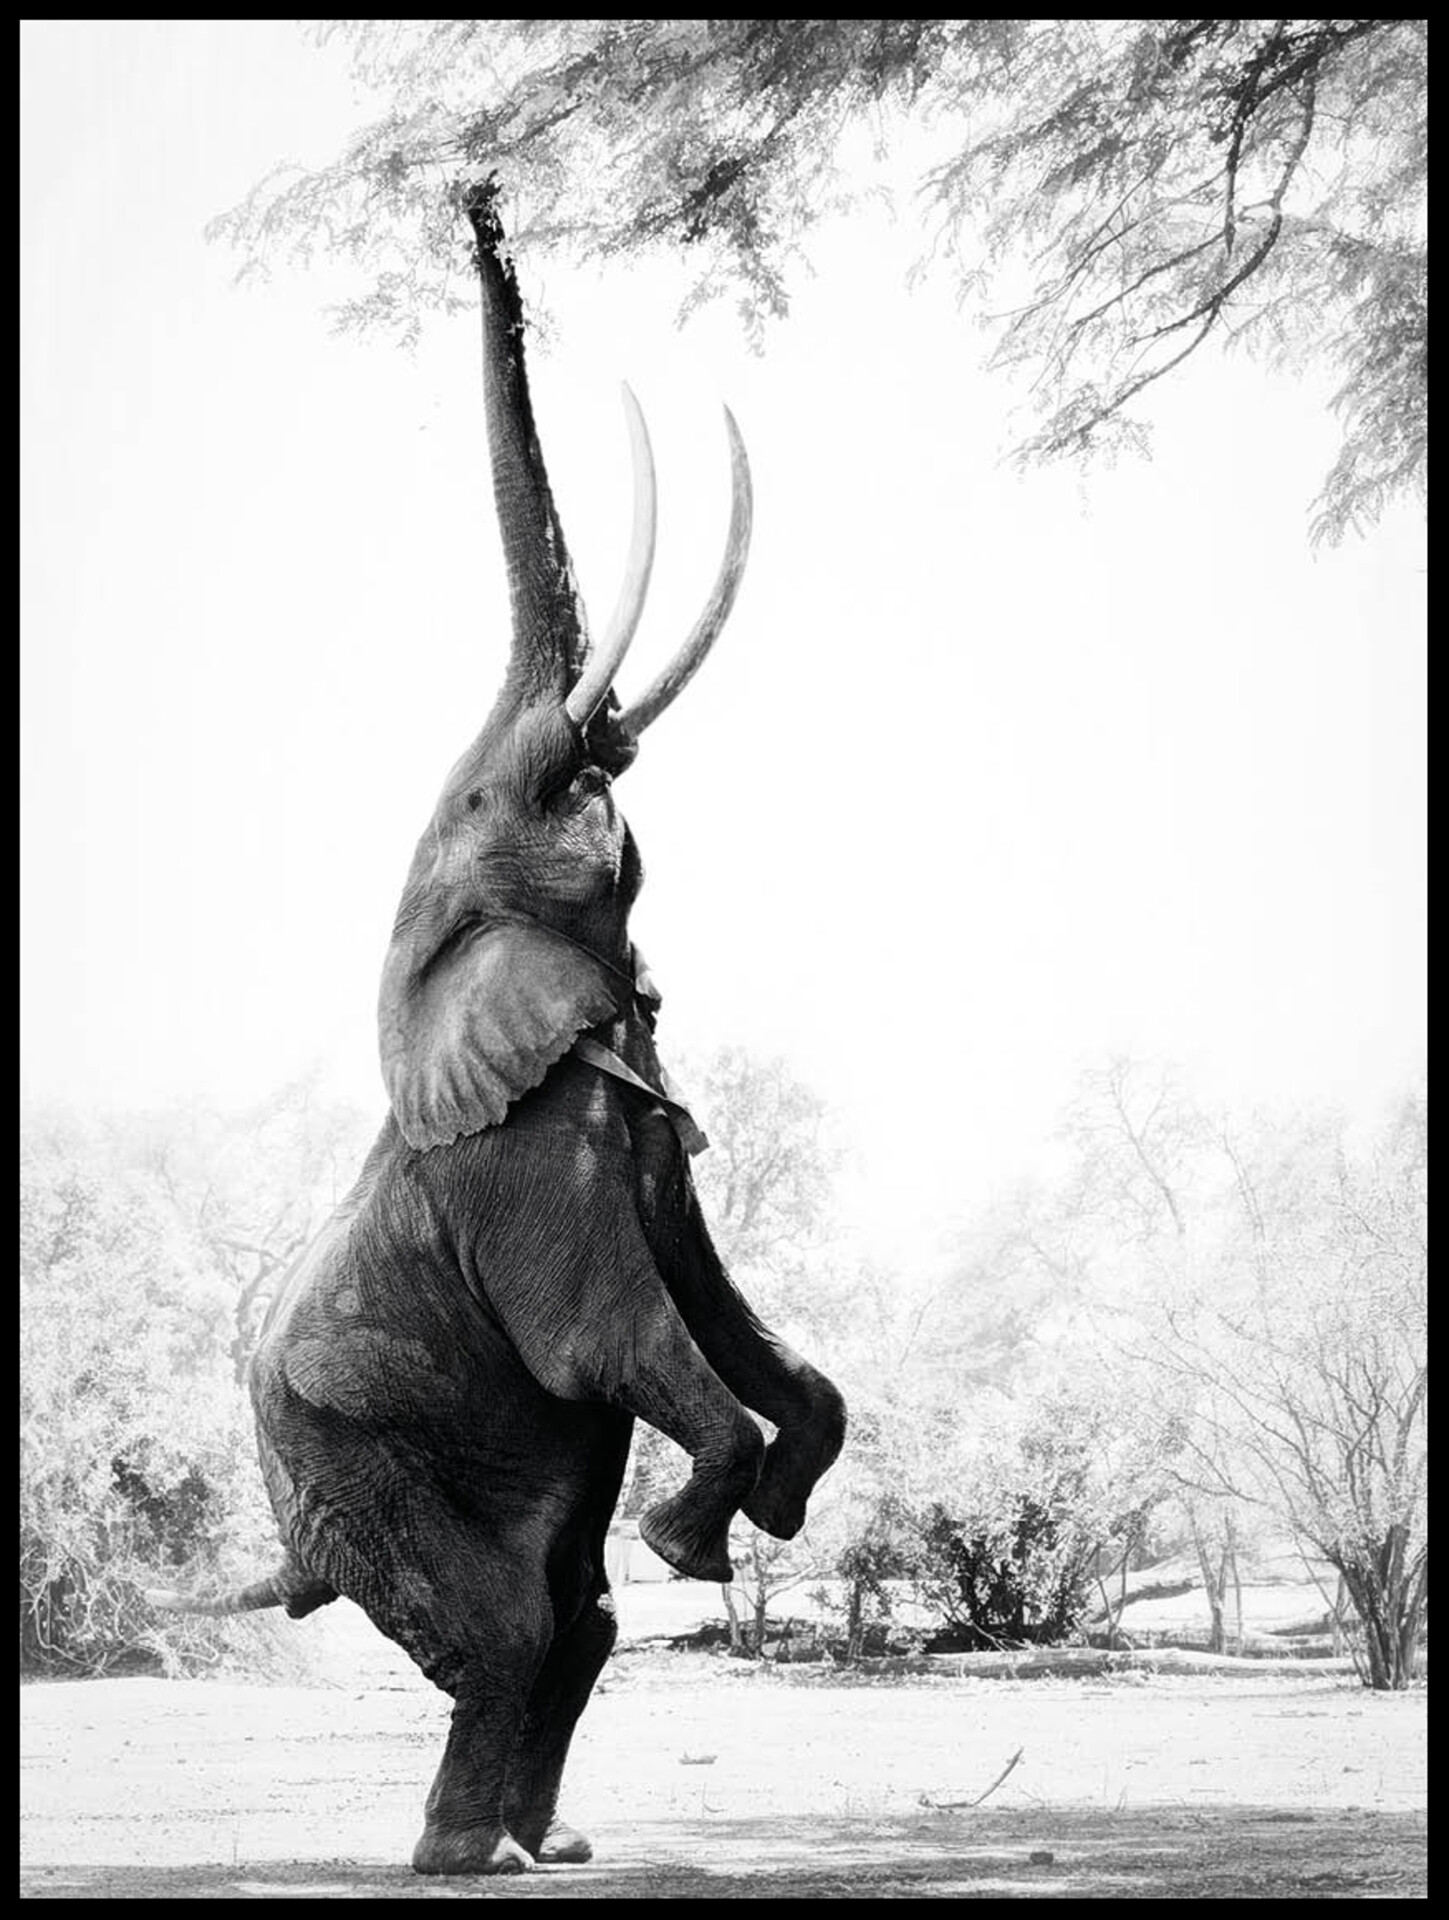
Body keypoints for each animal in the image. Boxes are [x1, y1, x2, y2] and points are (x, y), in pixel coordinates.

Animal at [155, 180, 846, 1877]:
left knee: (573, 1621)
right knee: (510, 1632)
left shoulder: (636, 1121)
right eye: (488, 798)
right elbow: (611, 1336)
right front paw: (696, 1533)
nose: (483, 211)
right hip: (351, 1460)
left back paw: (552, 1849)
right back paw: (459, 1858)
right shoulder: (523, 1167)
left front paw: (772, 1506)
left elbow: (734, 1315)